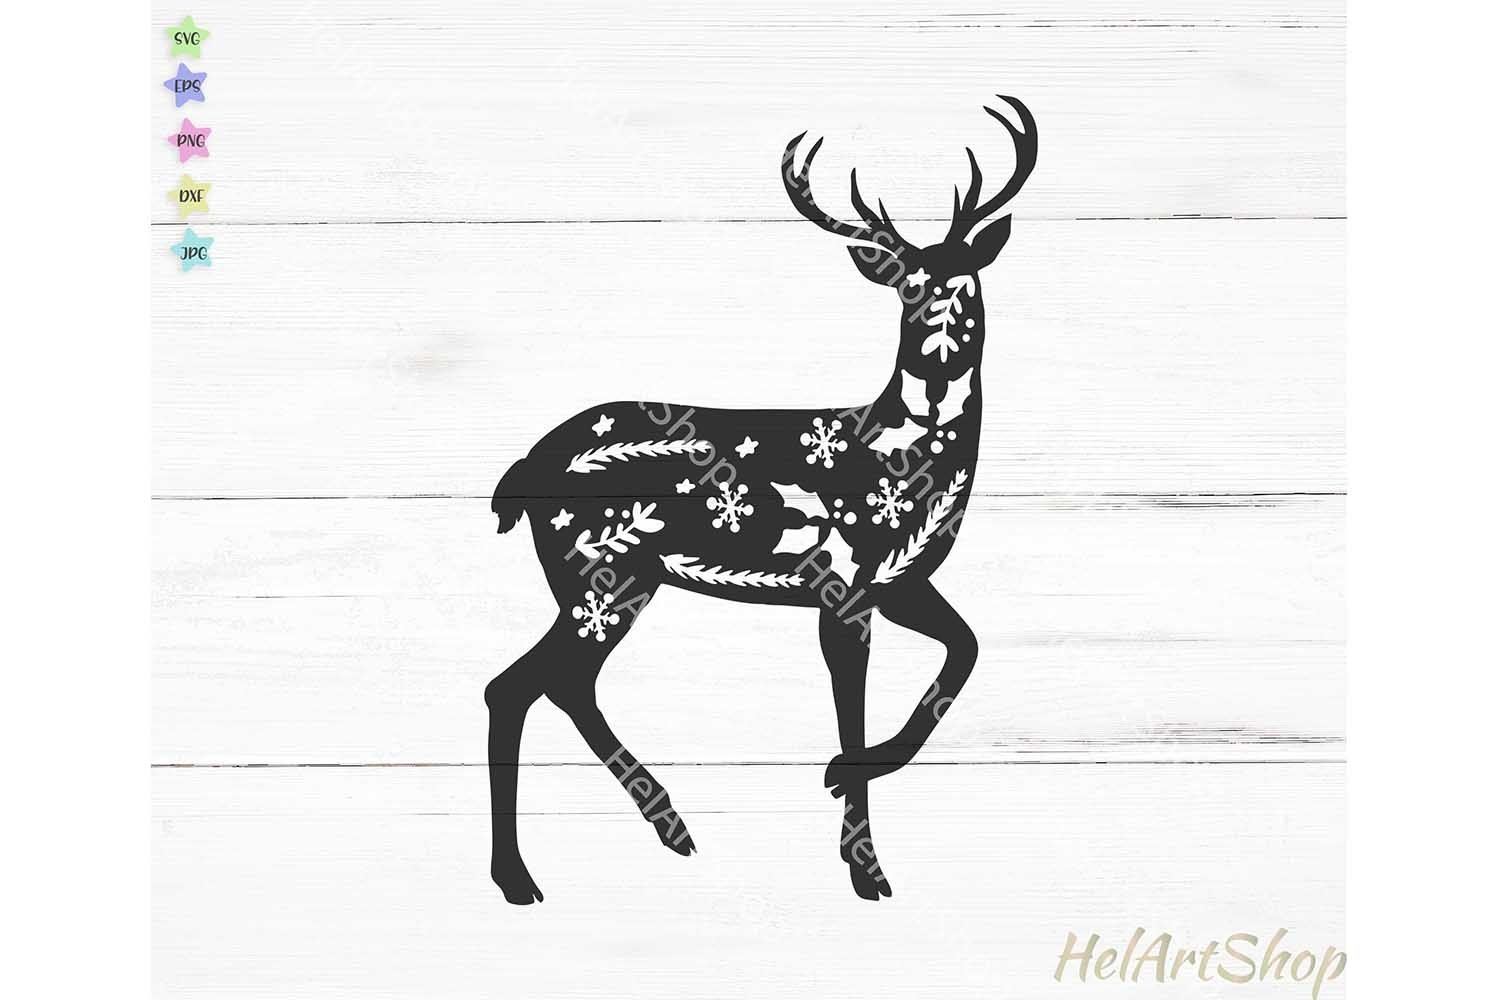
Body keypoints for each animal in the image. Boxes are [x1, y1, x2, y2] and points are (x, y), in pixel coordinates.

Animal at [486, 96, 1037, 904]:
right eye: (906, 286)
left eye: (966, 281)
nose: (936, 363)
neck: (903, 461)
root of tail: (525, 470)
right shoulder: (843, 583)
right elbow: (850, 707)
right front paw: (865, 864)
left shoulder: (901, 581)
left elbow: (964, 650)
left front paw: (847, 790)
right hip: (595, 570)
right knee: (519, 686)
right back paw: (521, 877)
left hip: (623, 582)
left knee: (561, 684)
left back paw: (668, 828)